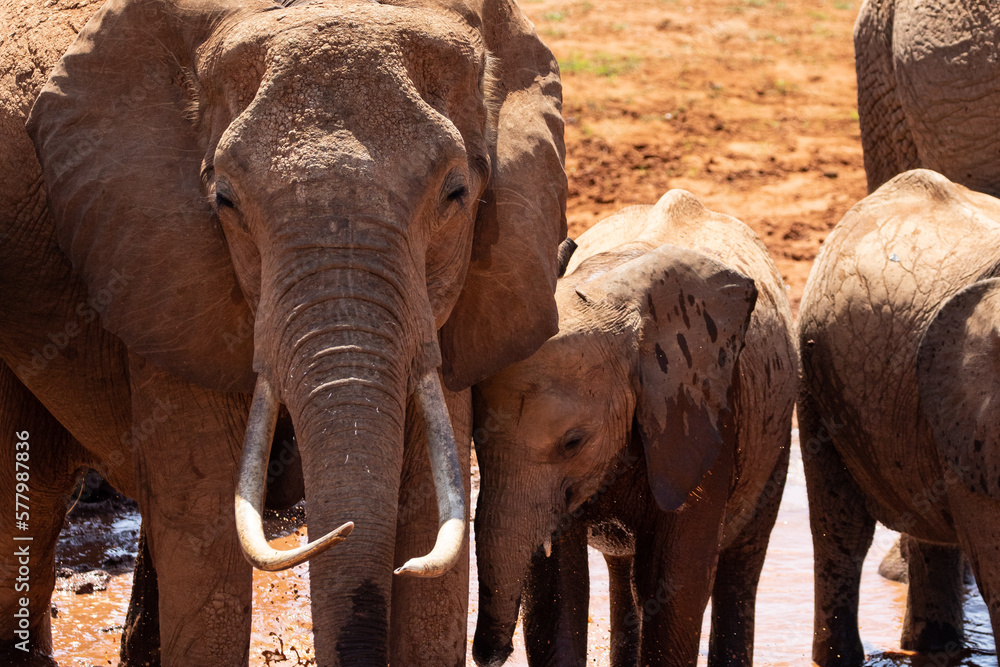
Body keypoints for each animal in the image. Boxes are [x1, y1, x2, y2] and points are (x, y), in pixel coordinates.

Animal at [0, 0, 567, 664]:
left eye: (455, 193)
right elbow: (205, 537)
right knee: (26, 505)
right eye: (224, 200)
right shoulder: (161, 267)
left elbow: (431, 533)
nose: (341, 529)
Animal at [471, 190, 797, 667]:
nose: (490, 653)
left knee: (741, 562)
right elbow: (558, 589)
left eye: (574, 442)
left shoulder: (705, 408)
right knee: (622, 571)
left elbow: (676, 583)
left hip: (776, 427)